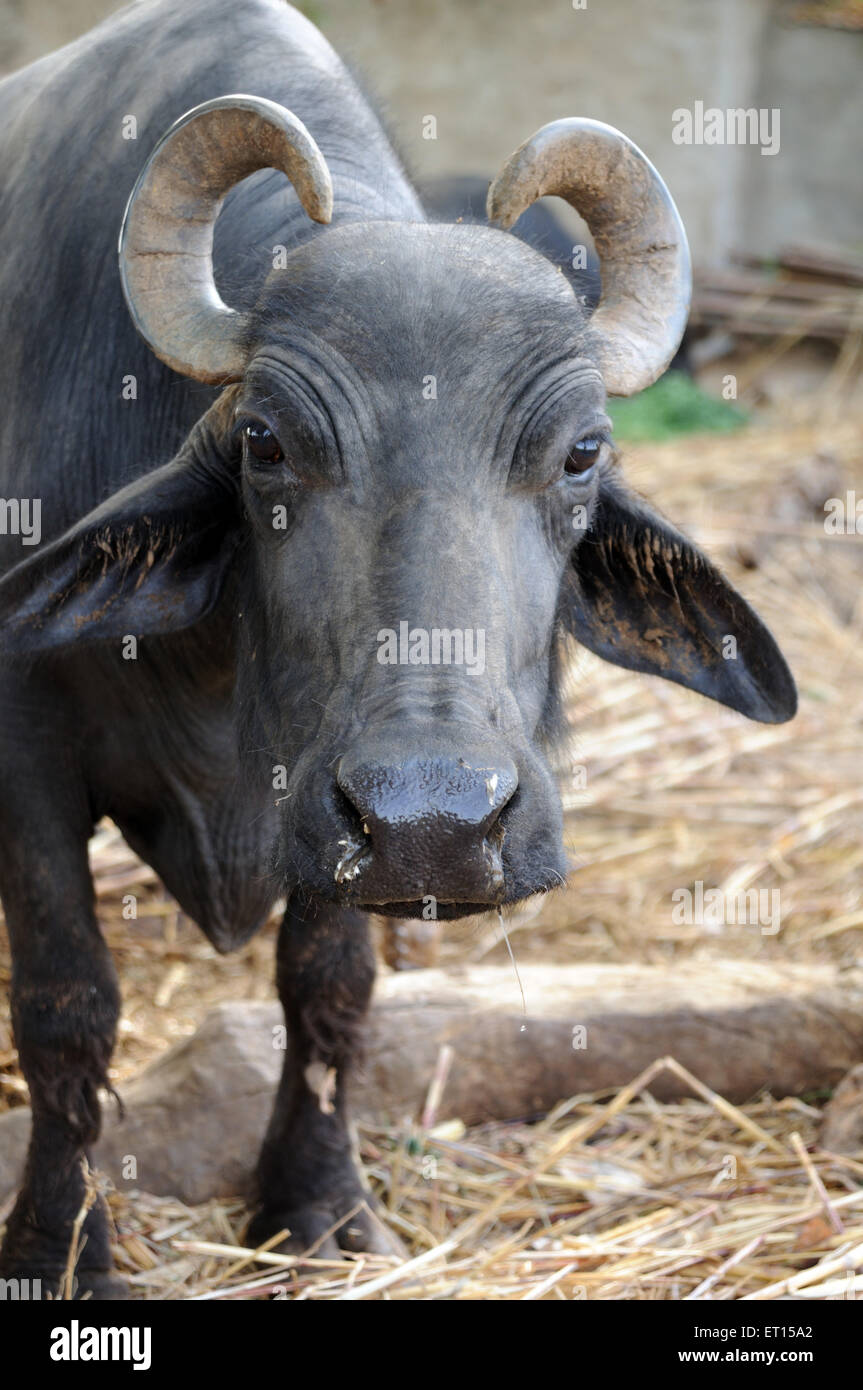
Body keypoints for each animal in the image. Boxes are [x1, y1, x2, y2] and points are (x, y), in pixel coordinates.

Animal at [0, 0, 796, 1298]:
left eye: (581, 452)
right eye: (265, 442)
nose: (435, 819)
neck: (225, 681)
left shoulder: (330, 832)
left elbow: (328, 984)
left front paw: (315, 1201)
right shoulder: (24, 757)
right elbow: (67, 1003)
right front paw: (57, 1246)